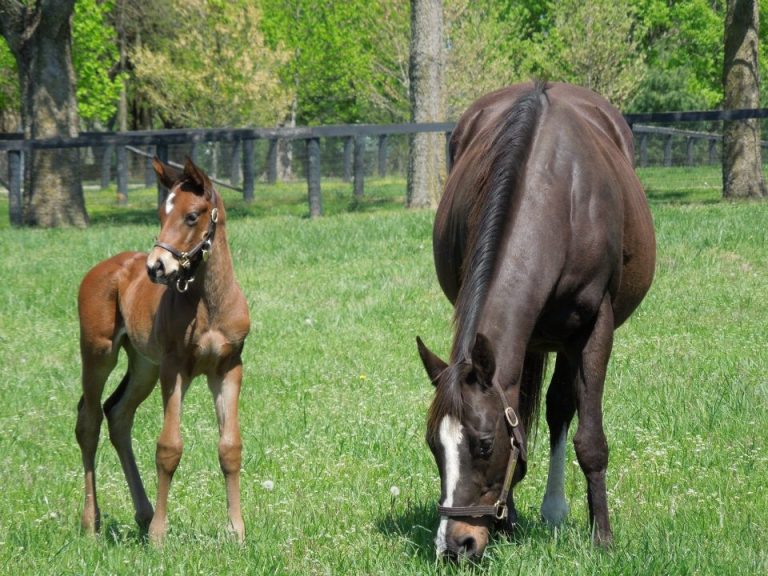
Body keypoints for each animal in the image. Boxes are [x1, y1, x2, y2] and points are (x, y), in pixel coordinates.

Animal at [75, 157, 250, 544]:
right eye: (161, 213)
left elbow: (230, 446)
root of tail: (105, 267)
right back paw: (92, 523)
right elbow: (169, 447)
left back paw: (143, 513)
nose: (156, 267)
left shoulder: (229, 366)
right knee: (89, 421)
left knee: (118, 414)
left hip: (144, 366)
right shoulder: (175, 367)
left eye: (192, 215)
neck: (210, 304)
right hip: (99, 352)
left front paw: (236, 531)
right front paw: (159, 536)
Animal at [416, 81, 656, 559]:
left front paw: (602, 537)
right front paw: (507, 523)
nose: (456, 545)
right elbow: (524, 421)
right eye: (434, 446)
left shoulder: (593, 329)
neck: (558, 196)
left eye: (484, 444)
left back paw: (555, 509)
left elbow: (589, 439)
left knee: (560, 405)